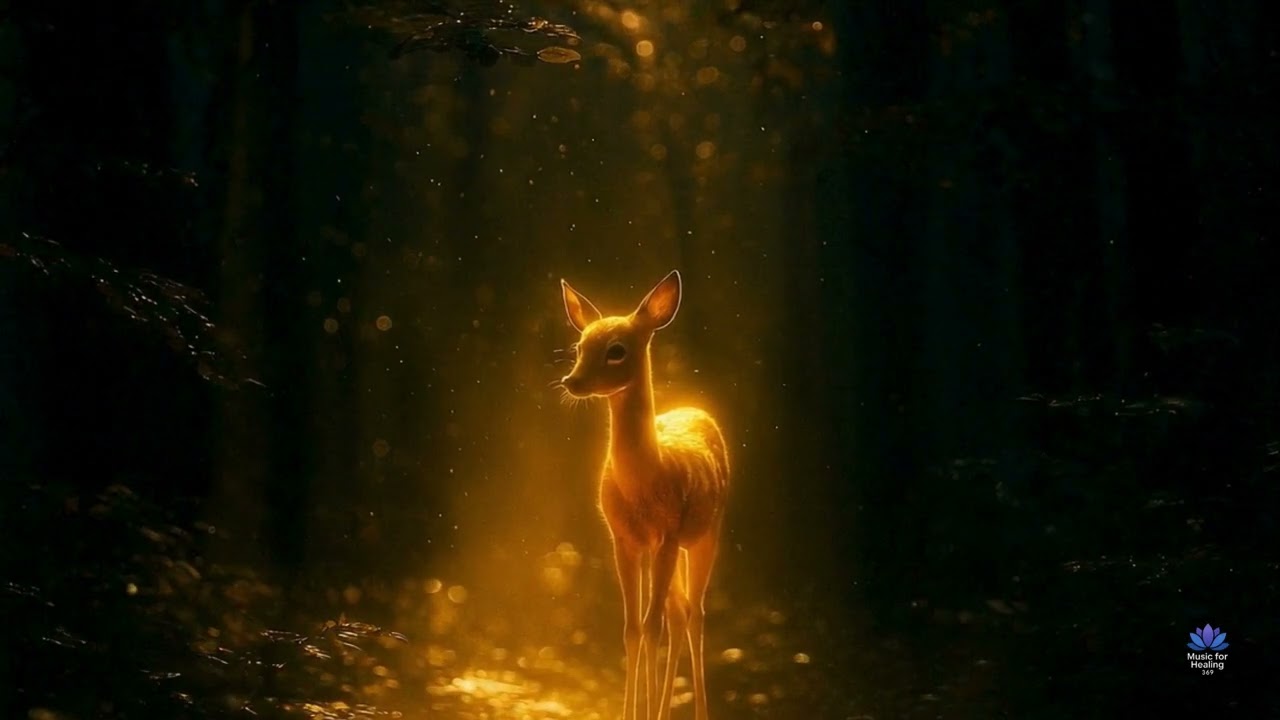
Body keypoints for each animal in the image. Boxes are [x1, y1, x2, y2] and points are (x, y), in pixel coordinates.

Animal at [557, 270, 730, 720]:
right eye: (579, 347)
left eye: (616, 350)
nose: (571, 381)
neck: (644, 480)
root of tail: (696, 409)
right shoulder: (625, 540)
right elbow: (633, 630)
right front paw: (633, 711)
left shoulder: (667, 534)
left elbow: (651, 629)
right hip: (666, 548)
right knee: (679, 610)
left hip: (705, 533)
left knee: (694, 614)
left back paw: (699, 711)